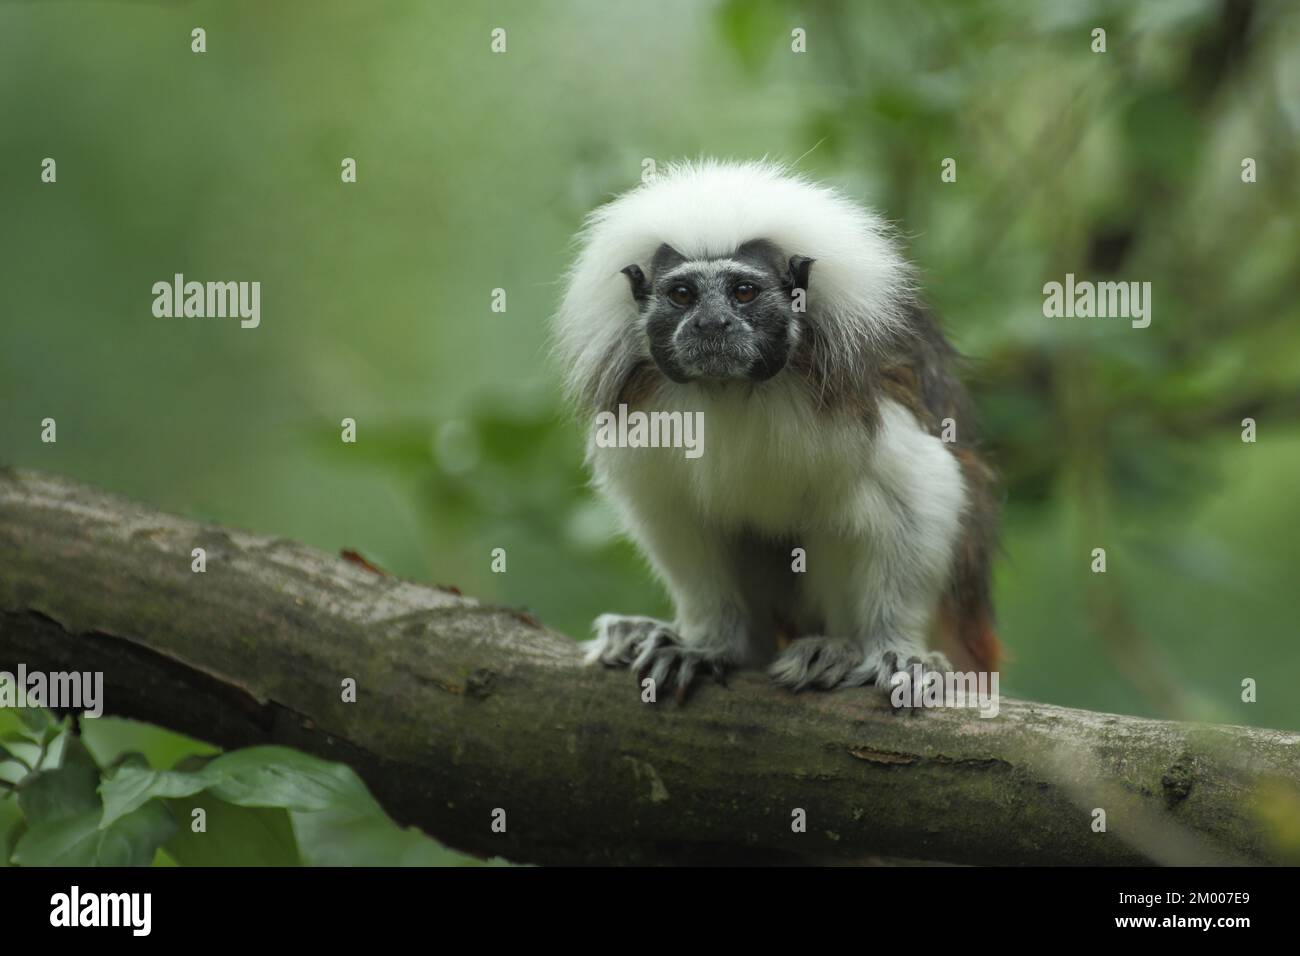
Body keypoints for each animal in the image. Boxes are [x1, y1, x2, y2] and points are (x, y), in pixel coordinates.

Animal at [553, 159, 1000, 700]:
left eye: (743, 292)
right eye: (682, 295)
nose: (712, 324)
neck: (730, 389)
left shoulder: (860, 397)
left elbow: (918, 492)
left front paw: (898, 650)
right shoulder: (646, 413)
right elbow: (679, 519)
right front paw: (709, 643)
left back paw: (833, 649)